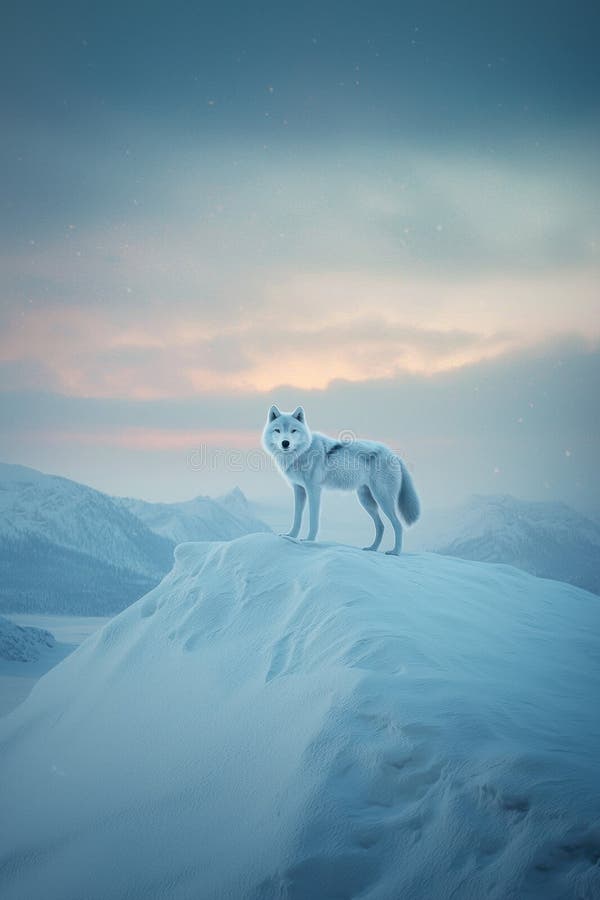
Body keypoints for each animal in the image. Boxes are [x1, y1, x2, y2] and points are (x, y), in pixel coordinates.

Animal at [262, 405, 420, 554]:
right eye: (277, 430)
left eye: (293, 431)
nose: (285, 443)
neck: (302, 452)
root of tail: (394, 455)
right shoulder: (299, 489)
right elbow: (297, 518)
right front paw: (291, 536)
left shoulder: (314, 490)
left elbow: (313, 519)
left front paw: (309, 540)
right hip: (366, 500)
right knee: (381, 526)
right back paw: (372, 548)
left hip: (382, 499)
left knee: (398, 525)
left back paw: (395, 552)